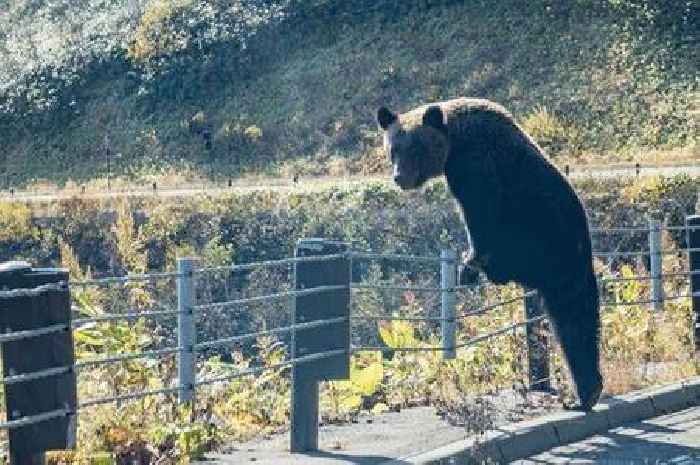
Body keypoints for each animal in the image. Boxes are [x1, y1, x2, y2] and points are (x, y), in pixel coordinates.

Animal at [376, 98, 603, 411]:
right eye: (392, 149)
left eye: (415, 149)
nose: (399, 177)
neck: (454, 141)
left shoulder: (476, 168)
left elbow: (480, 217)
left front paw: (469, 262)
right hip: (567, 259)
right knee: (575, 319)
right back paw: (588, 391)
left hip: (542, 240)